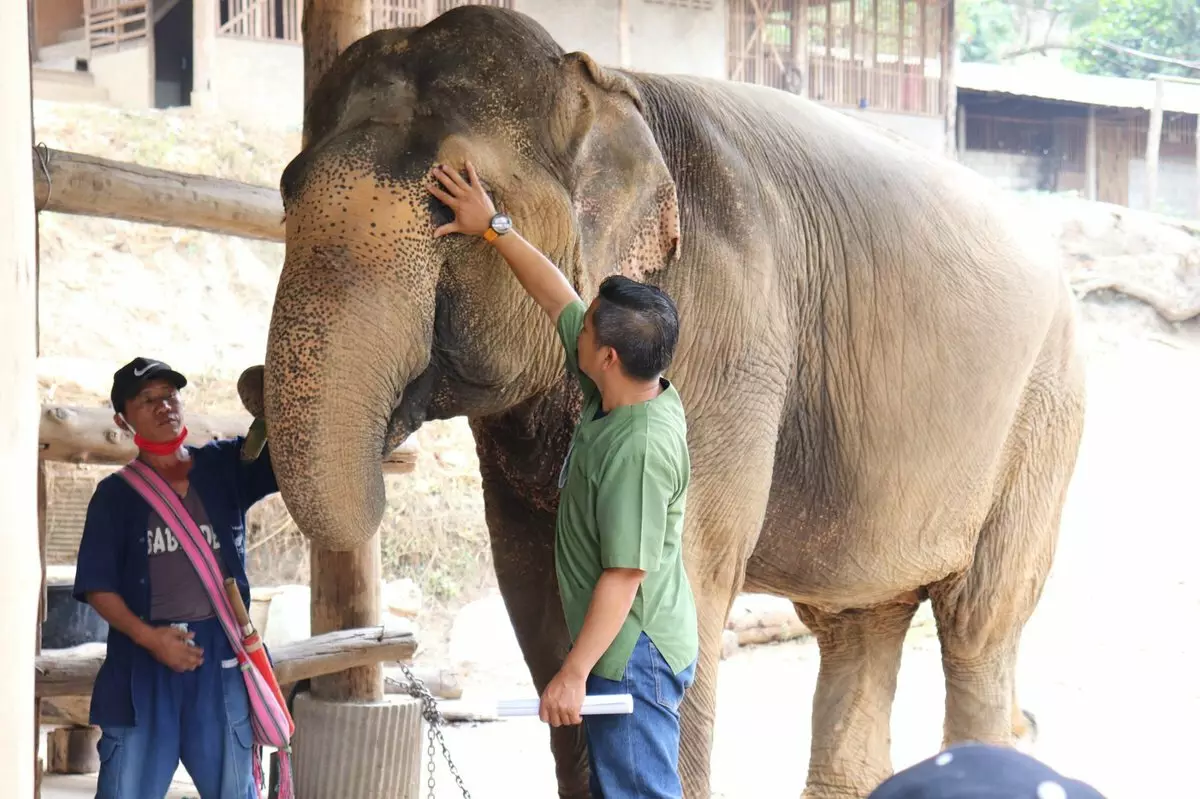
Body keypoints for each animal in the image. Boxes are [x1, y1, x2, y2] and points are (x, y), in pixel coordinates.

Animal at [260, 6, 1089, 796]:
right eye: (286, 190)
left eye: (449, 203)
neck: (609, 83)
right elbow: (534, 586)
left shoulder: (726, 333)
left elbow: (676, 572)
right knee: (857, 621)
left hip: (1044, 415)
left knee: (980, 621)